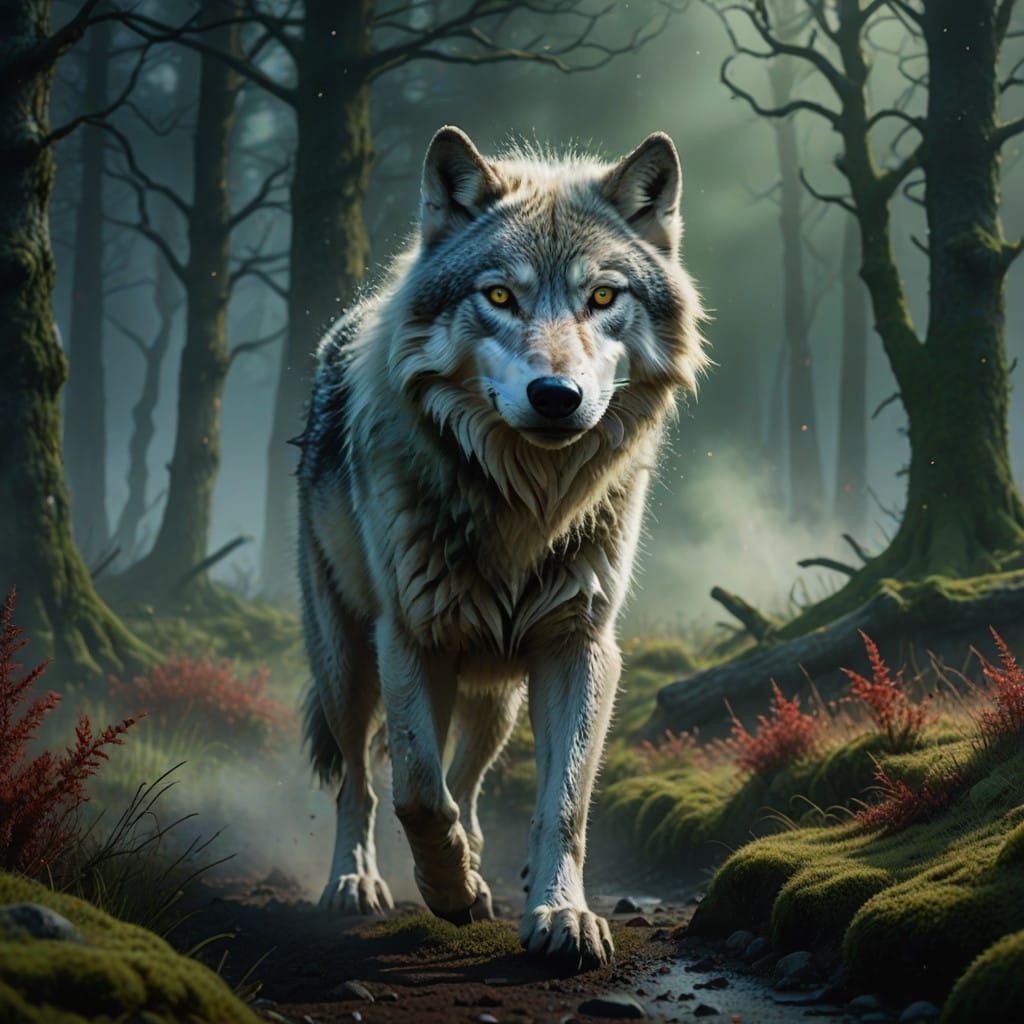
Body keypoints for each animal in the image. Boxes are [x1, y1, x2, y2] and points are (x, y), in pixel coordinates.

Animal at [297, 125, 706, 969]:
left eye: (603, 297)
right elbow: (416, 792)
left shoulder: (580, 646)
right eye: (498, 297)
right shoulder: (409, 638)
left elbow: (562, 805)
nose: (556, 396)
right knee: (359, 780)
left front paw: (561, 915)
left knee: (472, 777)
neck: (525, 506)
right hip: (347, 663)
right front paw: (448, 890)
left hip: (498, 693)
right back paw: (357, 882)